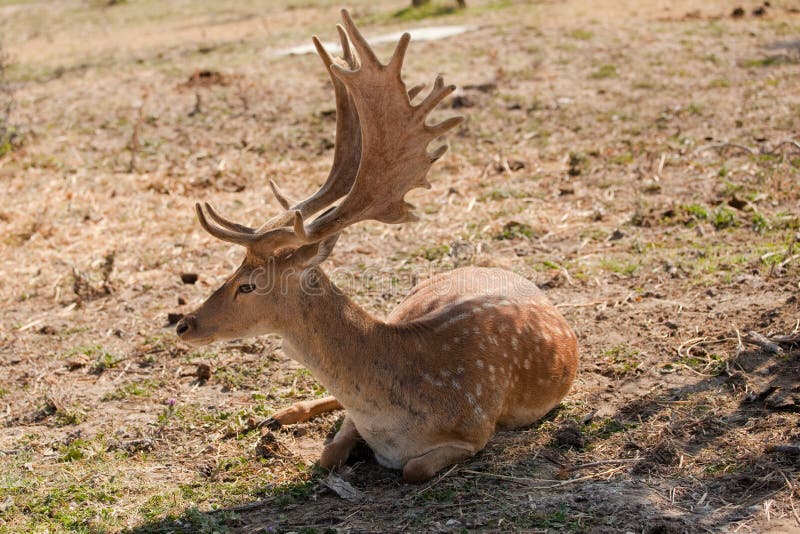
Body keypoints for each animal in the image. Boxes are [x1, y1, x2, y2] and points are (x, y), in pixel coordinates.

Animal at [175, 9, 579, 483]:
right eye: (233, 271)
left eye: (248, 285)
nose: (184, 325)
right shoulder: (357, 419)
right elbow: (329, 453)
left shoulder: (476, 430)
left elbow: (413, 470)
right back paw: (280, 414)